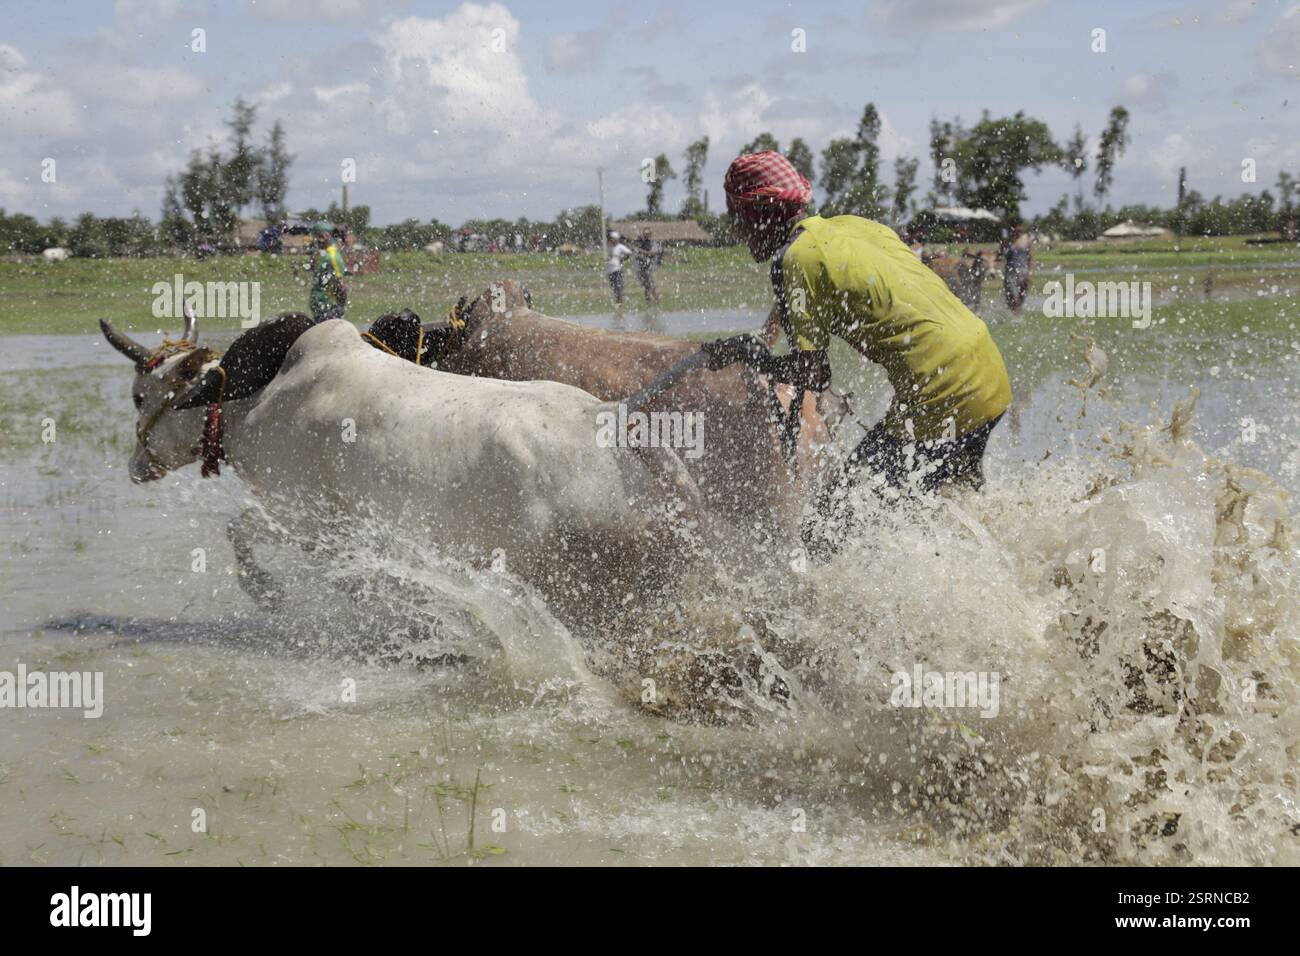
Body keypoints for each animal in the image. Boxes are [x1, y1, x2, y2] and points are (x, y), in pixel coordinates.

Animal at [99, 311, 704, 630]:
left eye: (138, 395)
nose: (134, 466)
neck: (257, 396)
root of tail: (612, 418)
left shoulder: (307, 517)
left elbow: (241, 533)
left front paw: (270, 595)